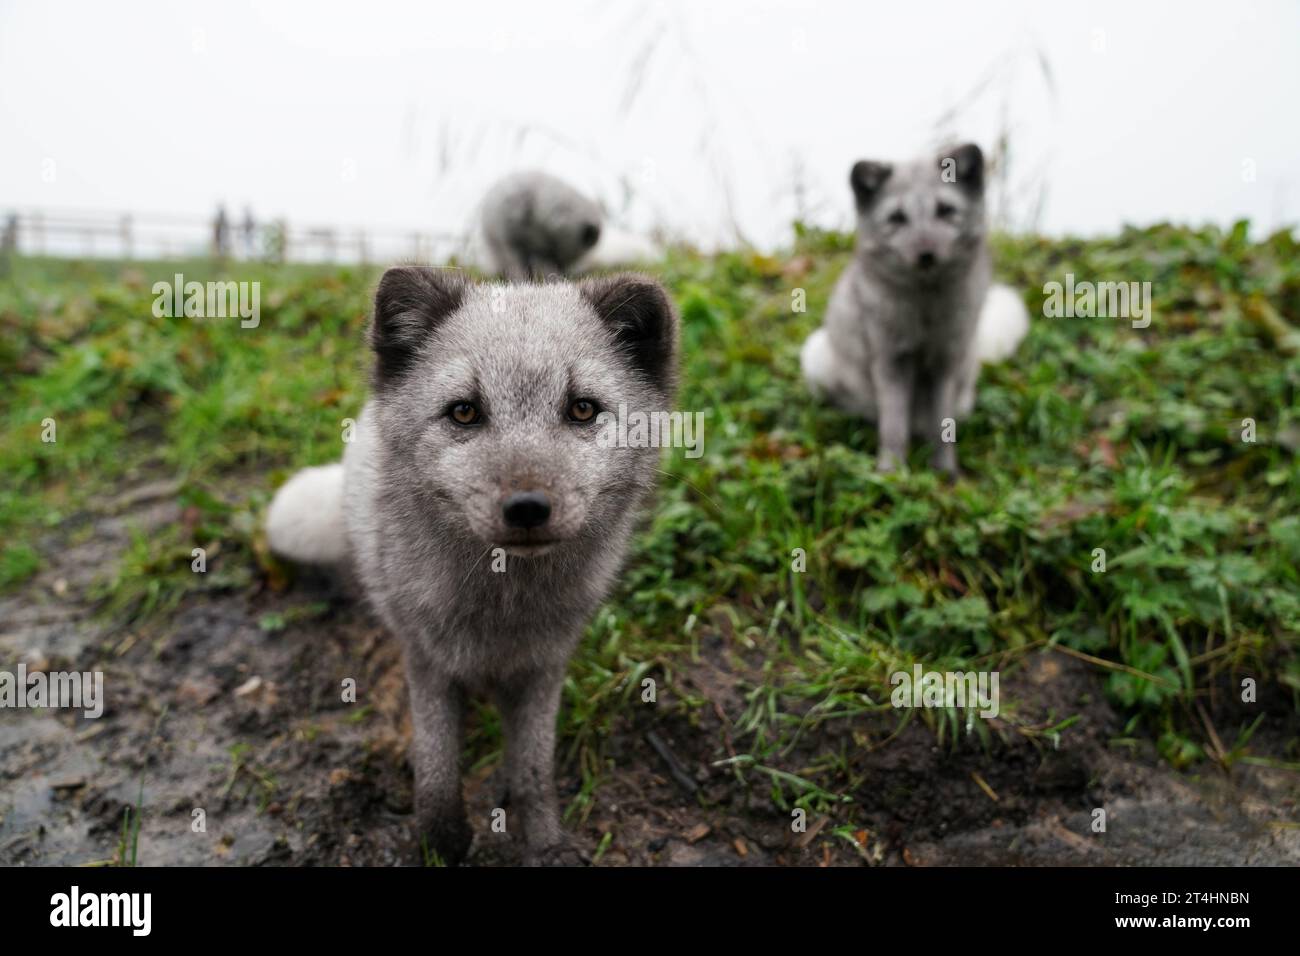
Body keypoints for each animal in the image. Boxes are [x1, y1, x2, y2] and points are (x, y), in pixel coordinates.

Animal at [265, 267, 679, 865]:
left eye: (582, 409)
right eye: (464, 411)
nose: (527, 508)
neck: (502, 607)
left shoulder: (545, 665)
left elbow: (533, 770)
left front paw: (545, 843)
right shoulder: (427, 660)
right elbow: (437, 771)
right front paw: (442, 843)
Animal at [800, 143, 1029, 475]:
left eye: (945, 210)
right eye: (897, 218)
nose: (926, 255)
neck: (926, 310)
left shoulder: (946, 361)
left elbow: (943, 424)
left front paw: (945, 471)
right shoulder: (890, 360)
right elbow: (893, 425)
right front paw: (891, 471)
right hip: (817, 355)